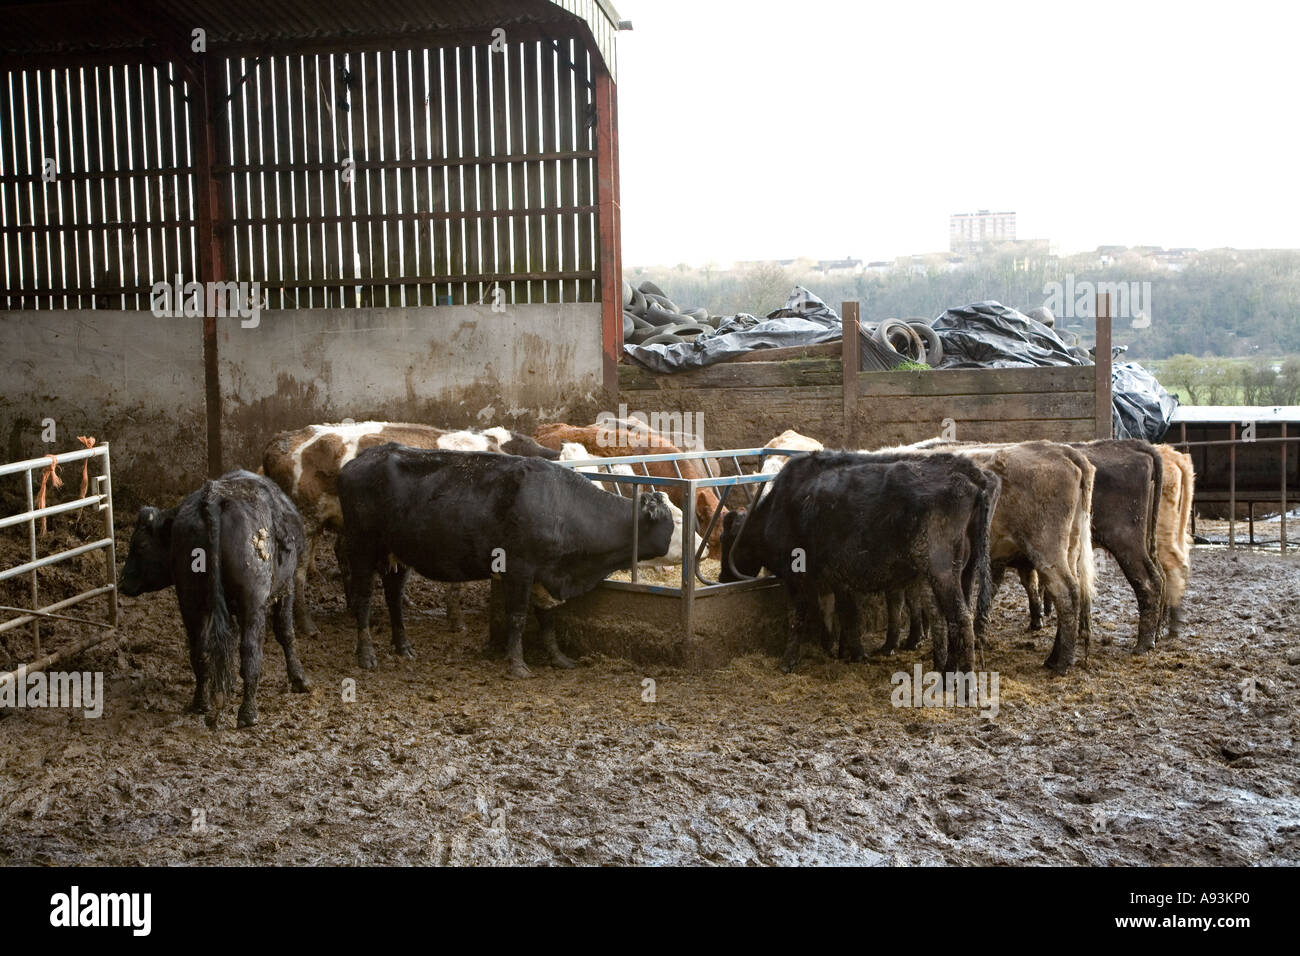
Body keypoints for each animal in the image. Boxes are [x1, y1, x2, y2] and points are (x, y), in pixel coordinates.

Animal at [118, 471, 310, 729]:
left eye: (139, 546)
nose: (122, 582)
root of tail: (213, 499)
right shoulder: (286, 586)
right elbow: (286, 633)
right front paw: (299, 679)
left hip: (190, 602)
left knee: (201, 650)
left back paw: (201, 703)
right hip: (252, 603)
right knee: (250, 653)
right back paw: (248, 713)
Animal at [337, 444, 675, 676]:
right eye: (676, 521)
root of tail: (360, 459)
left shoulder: (546, 575)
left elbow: (547, 618)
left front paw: (558, 658)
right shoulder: (519, 568)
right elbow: (517, 616)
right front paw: (516, 664)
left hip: (398, 554)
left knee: (394, 597)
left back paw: (403, 647)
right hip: (361, 547)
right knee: (364, 598)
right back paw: (366, 654)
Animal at [720, 451, 1000, 674]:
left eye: (724, 539)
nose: (723, 578)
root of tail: (970, 473)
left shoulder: (796, 574)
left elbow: (799, 618)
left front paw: (789, 662)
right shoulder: (837, 575)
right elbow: (843, 612)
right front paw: (843, 649)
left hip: (941, 570)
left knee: (960, 618)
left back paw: (962, 678)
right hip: (960, 570)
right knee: (950, 618)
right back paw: (947, 670)